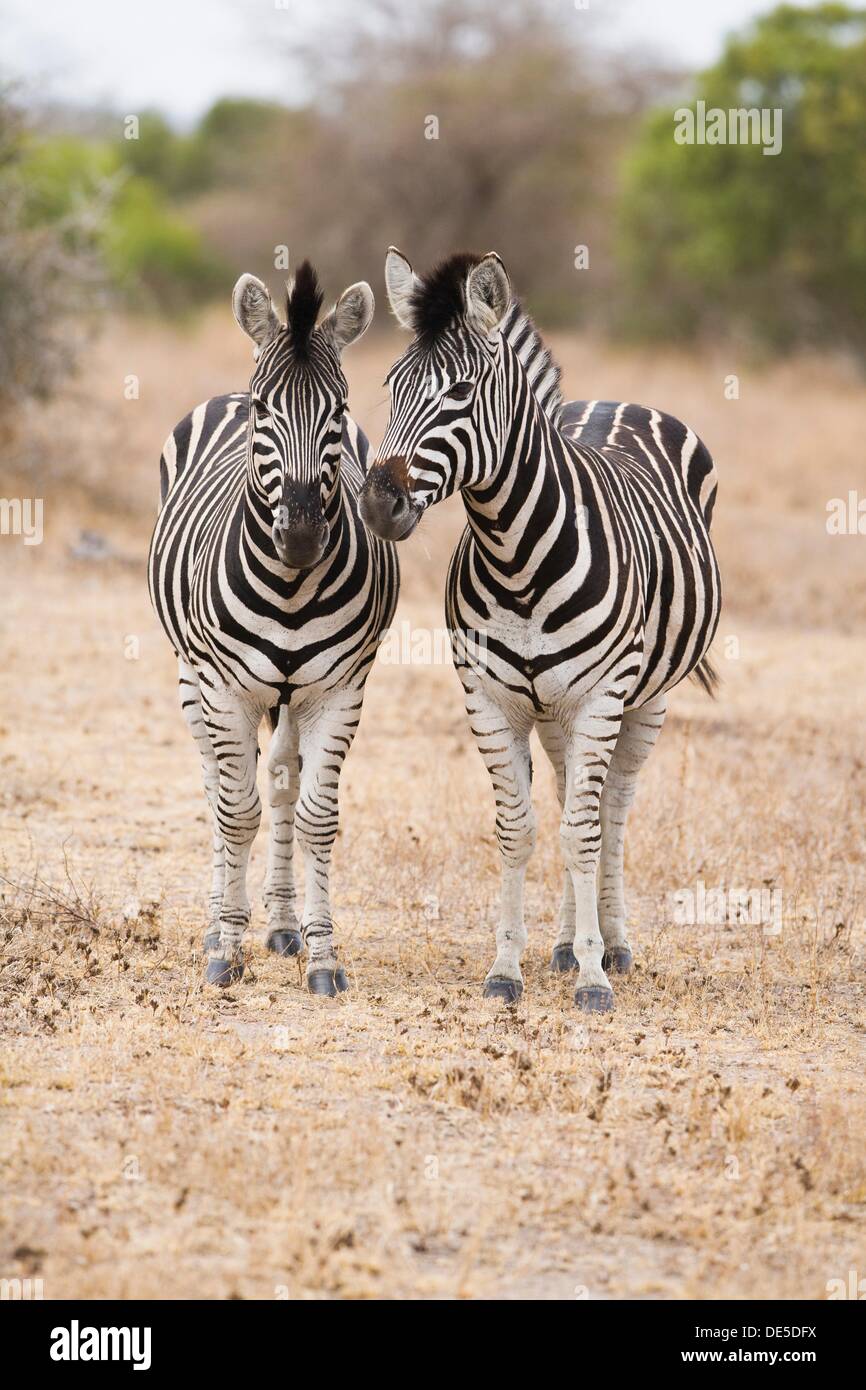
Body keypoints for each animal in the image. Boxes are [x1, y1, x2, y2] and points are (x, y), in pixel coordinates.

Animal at [148, 261, 398, 994]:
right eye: (265, 411)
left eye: (340, 411)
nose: (302, 536)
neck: (289, 588)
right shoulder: (223, 687)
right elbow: (236, 812)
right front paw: (225, 949)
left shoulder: (339, 690)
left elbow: (316, 815)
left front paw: (322, 954)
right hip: (191, 677)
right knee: (217, 785)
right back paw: (215, 921)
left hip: (290, 695)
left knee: (284, 781)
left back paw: (284, 925)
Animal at [359, 248, 720, 1012]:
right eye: (391, 385)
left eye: (462, 391)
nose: (377, 505)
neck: (516, 556)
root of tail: (615, 402)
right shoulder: (490, 699)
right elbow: (519, 828)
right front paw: (508, 967)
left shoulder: (603, 696)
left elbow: (583, 832)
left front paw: (593, 976)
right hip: (555, 711)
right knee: (565, 800)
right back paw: (564, 942)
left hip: (645, 699)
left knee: (611, 809)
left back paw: (613, 943)